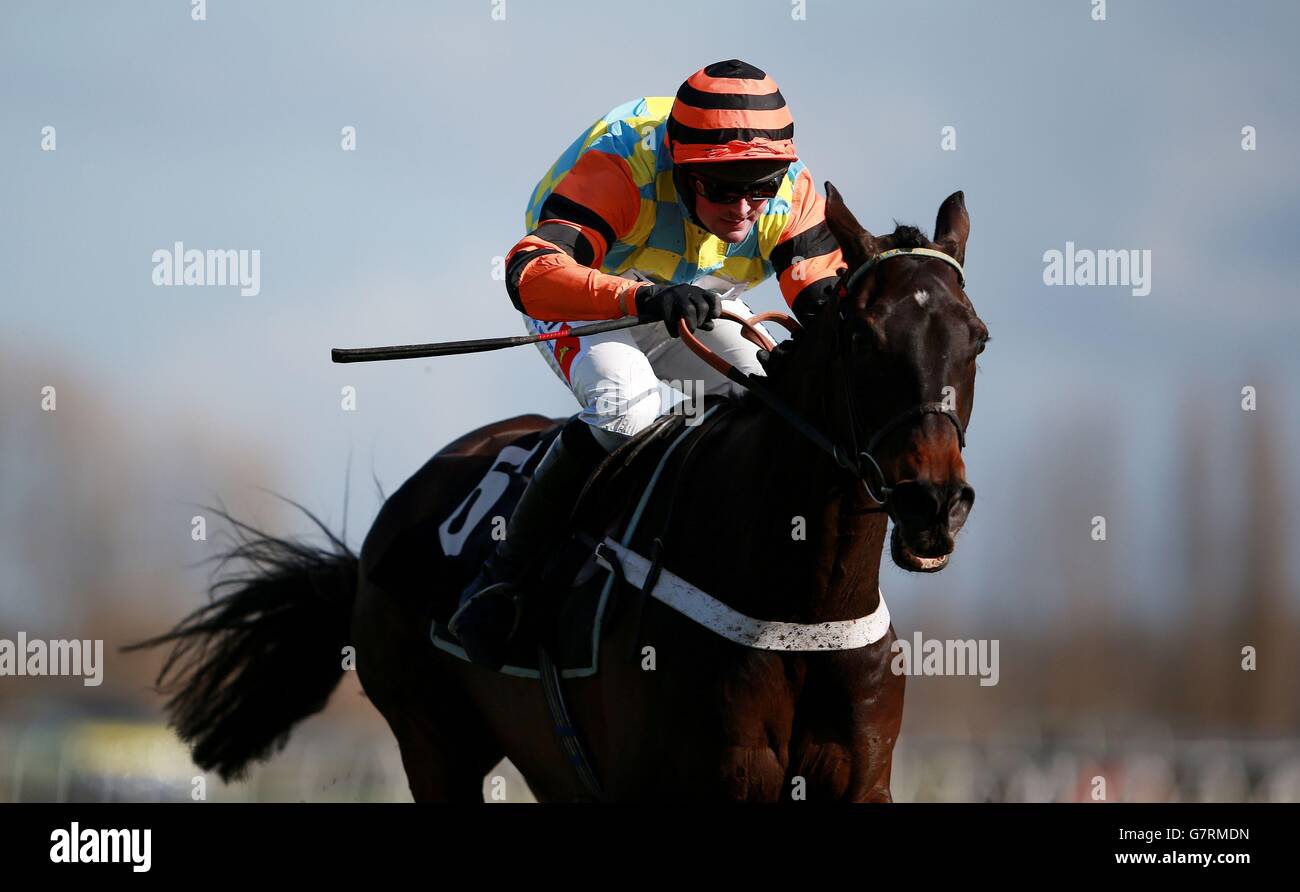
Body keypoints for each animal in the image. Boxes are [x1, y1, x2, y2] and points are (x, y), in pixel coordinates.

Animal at [127, 183, 988, 802]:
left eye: (976, 338)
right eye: (863, 338)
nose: (933, 504)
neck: (800, 603)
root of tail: (387, 524)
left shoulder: (859, 783)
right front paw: (672, 301)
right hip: (433, 743)